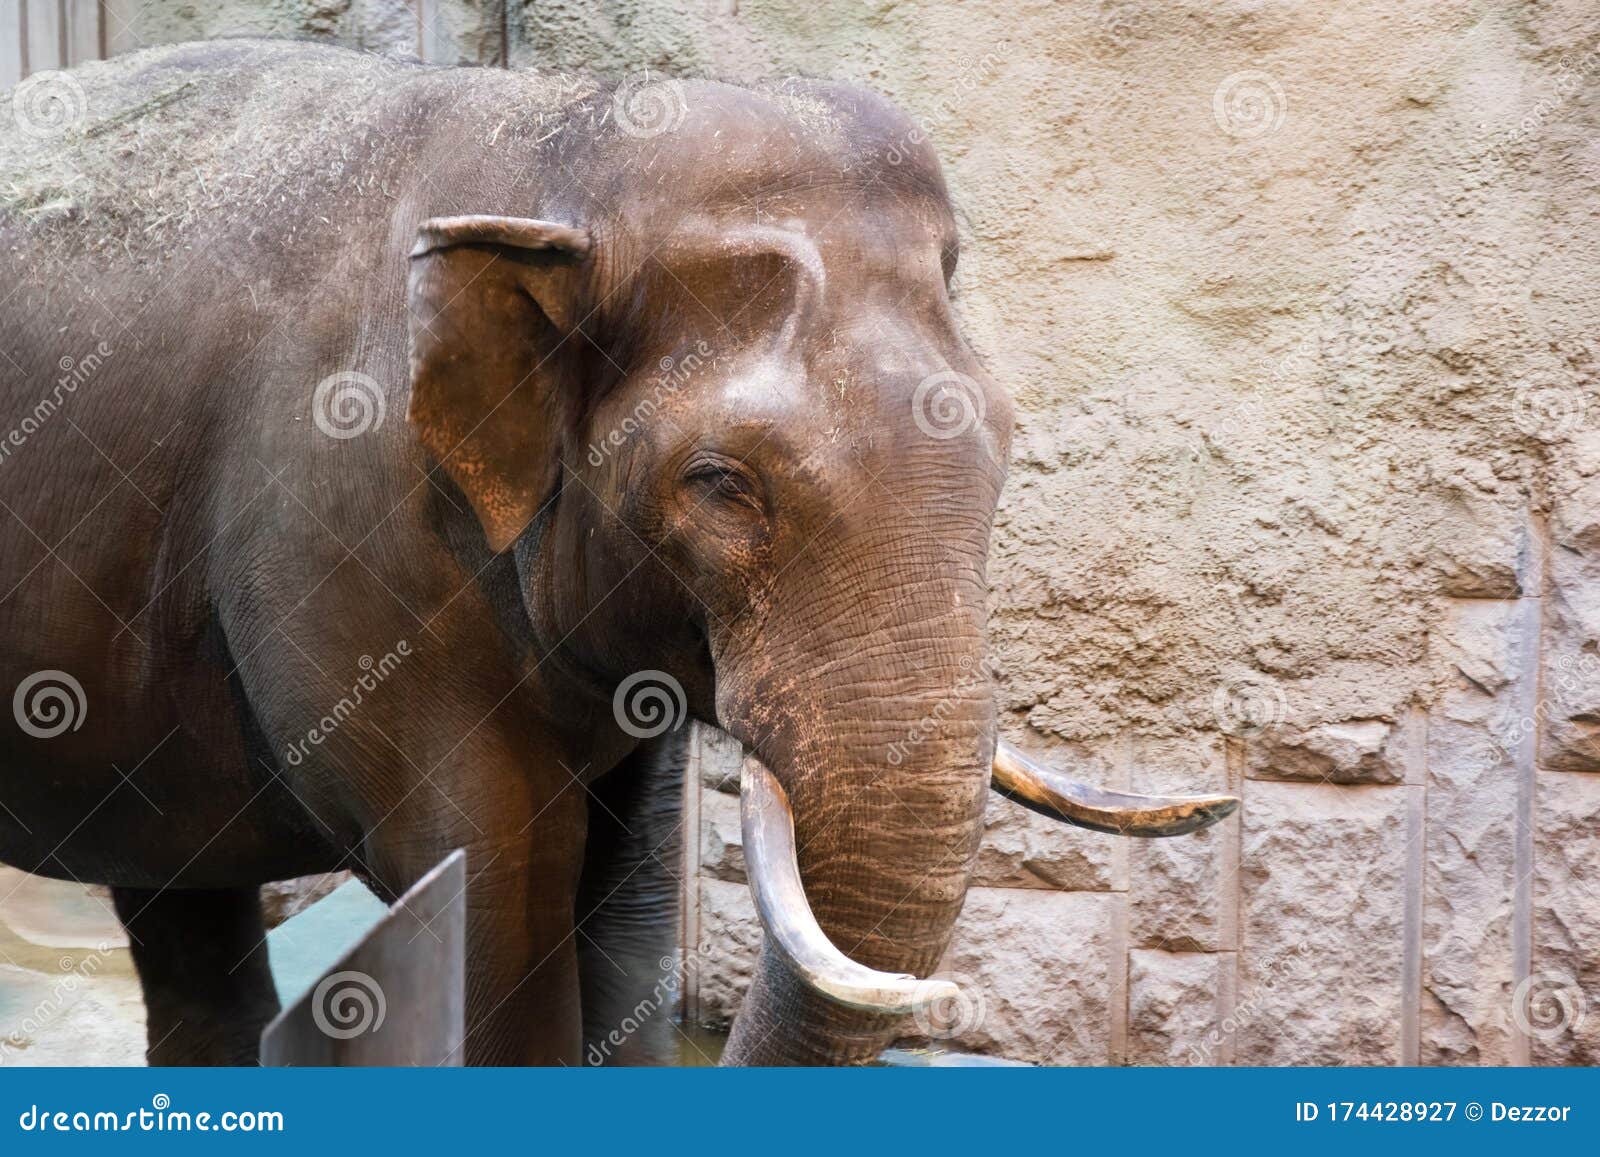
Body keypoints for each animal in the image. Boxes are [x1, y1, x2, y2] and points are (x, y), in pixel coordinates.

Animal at [0, 39, 1236, 1066]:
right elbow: (495, 898)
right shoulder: (340, 537)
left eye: (1002, 446)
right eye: (721, 484)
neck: (557, 138)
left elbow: (627, 892)